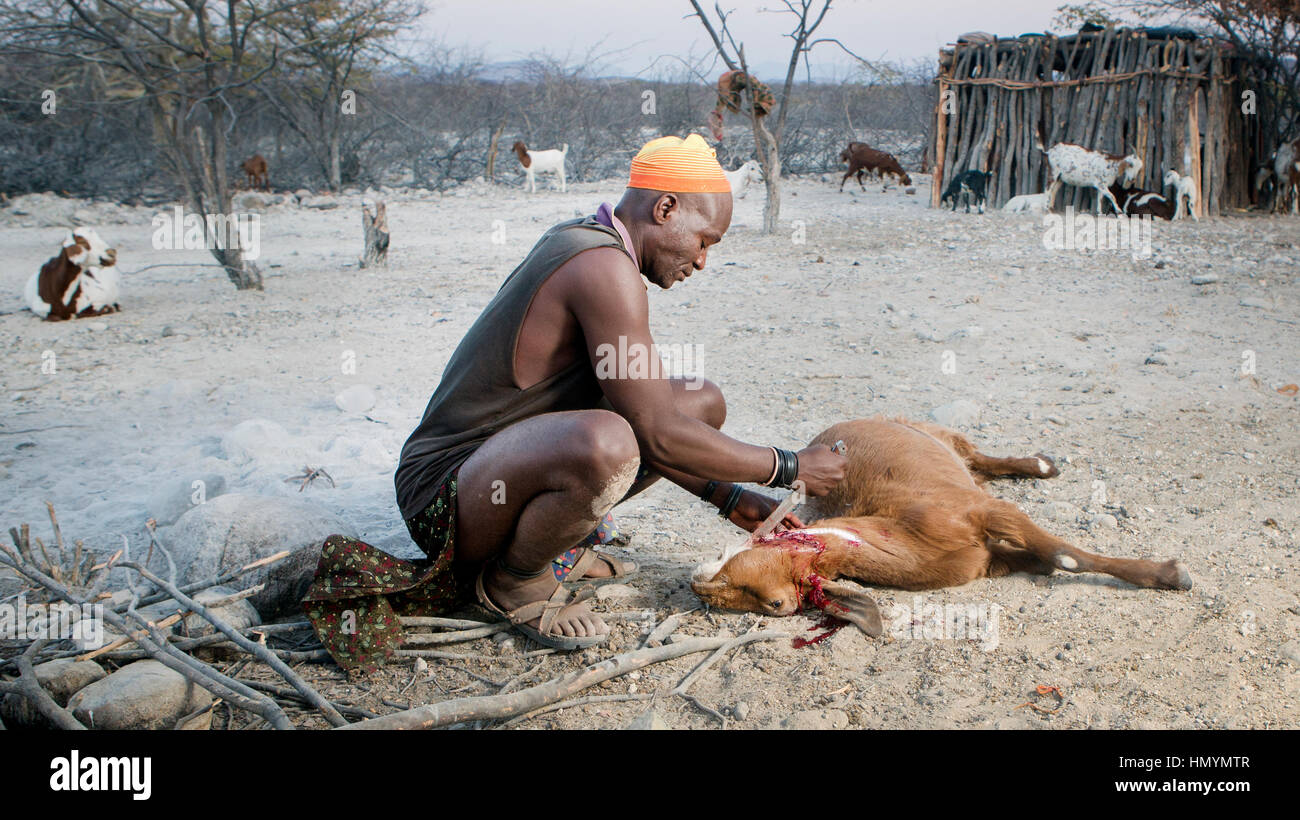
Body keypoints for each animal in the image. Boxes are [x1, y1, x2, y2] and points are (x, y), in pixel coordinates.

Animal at [692, 417, 1191, 634]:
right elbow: (1046, 562)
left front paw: (1169, 574)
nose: (701, 588)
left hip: (931, 431)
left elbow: (1064, 554)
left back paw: (1041, 465)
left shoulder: (985, 511)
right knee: (979, 466)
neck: (905, 533)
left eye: (774, 603)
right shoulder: (989, 559)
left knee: (977, 454)